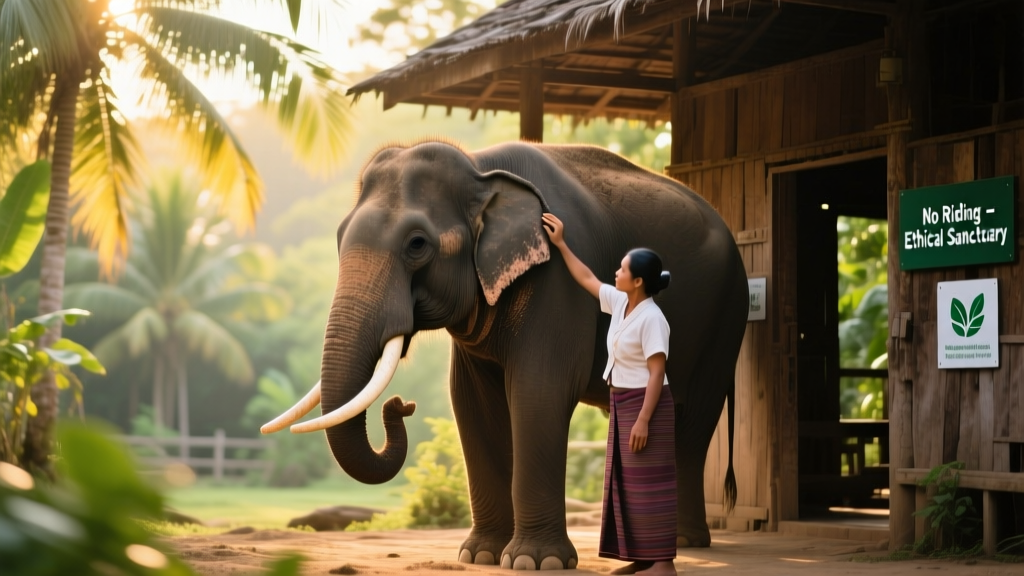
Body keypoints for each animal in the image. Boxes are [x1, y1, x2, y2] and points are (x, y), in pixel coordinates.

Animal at [262, 140, 749, 570]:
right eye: (339, 237)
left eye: (417, 244)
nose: (402, 404)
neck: (480, 168)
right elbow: (472, 403)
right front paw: (479, 556)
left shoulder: (556, 281)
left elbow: (539, 392)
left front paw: (537, 561)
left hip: (729, 315)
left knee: (694, 421)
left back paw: (684, 541)